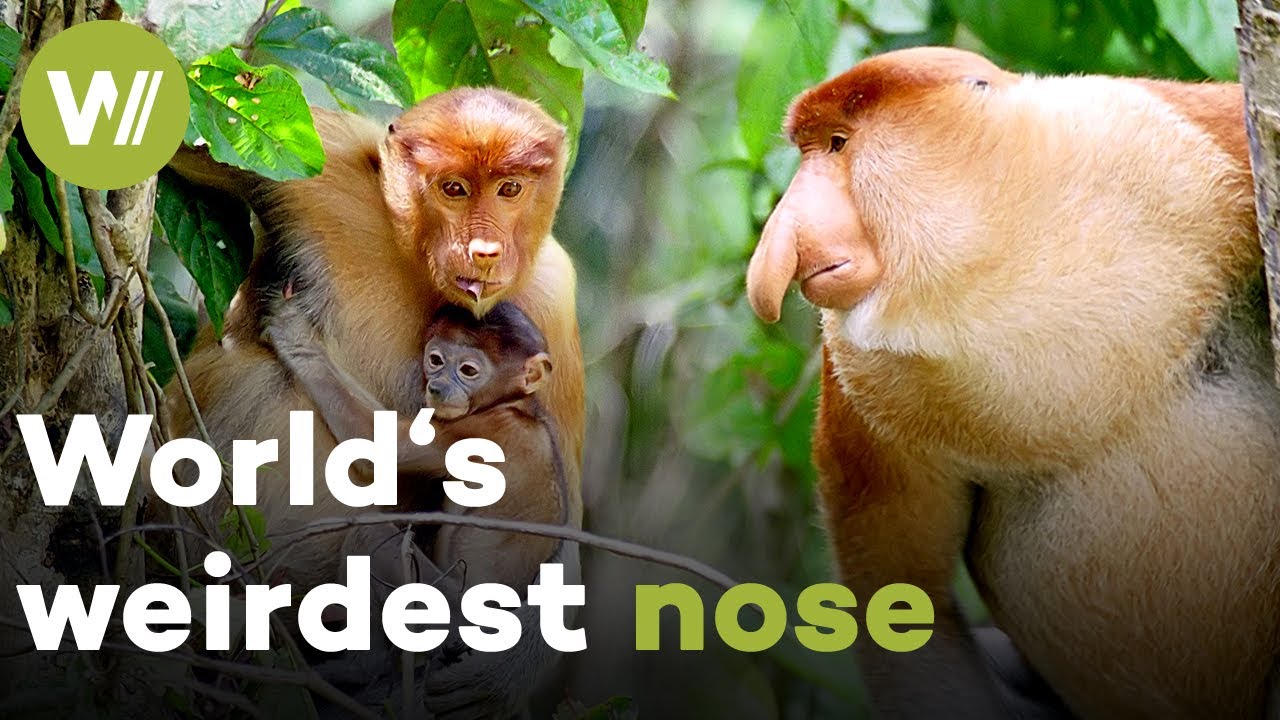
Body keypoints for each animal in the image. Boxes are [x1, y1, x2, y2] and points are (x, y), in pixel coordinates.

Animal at [264, 296, 566, 589]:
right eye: (435, 360)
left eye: (468, 370)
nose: (437, 387)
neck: (516, 406)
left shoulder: (487, 430)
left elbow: (376, 448)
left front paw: (297, 338)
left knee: (370, 532)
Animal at [746, 46, 1280, 719]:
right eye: (811, 149)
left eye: (838, 144)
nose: (779, 244)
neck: (1004, 268)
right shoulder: (861, 384)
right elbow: (902, 603)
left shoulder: (1179, 140)